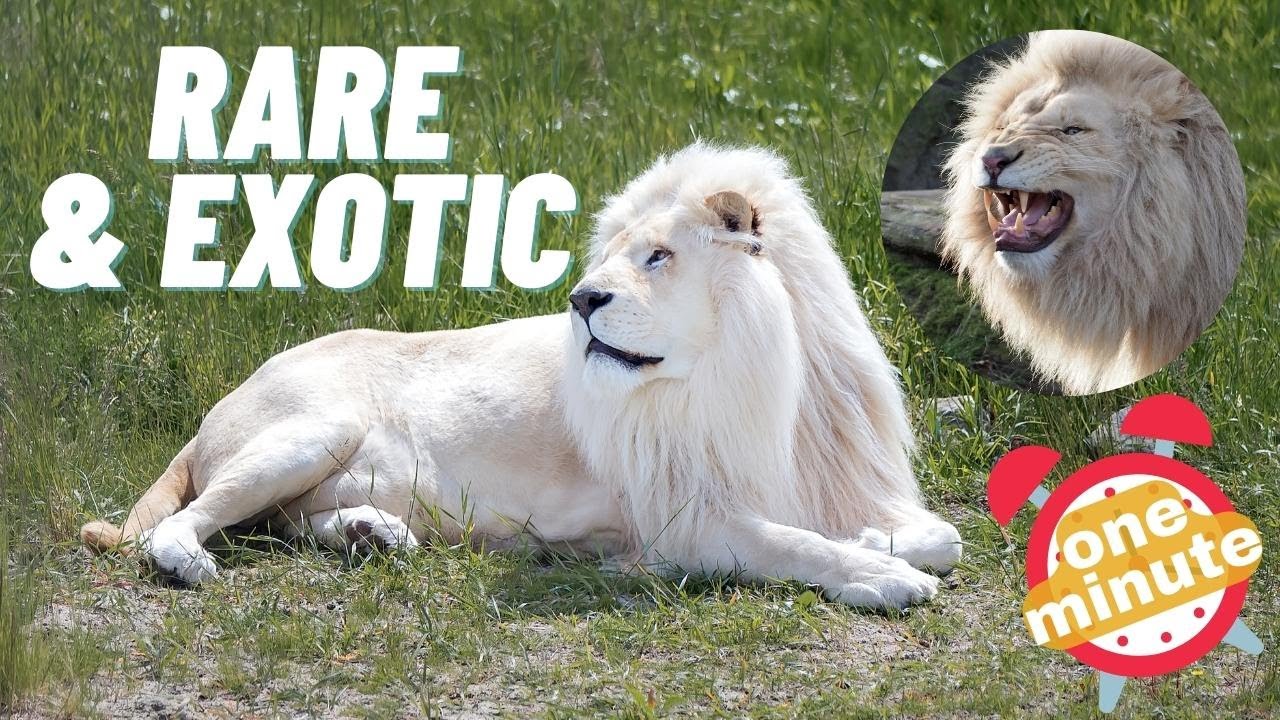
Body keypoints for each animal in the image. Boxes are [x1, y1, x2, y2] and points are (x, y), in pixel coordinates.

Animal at [81, 143, 960, 610]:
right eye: (611, 257)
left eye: (659, 256)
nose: (581, 298)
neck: (763, 377)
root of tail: (213, 411)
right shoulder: (685, 520)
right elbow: (796, 545)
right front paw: (880, 574)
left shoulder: (827, 482)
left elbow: (941, 536)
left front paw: (880, 541)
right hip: (315, 427)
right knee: (181, 524)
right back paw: (194, 562)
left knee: (286, 524)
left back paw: (372, 534)